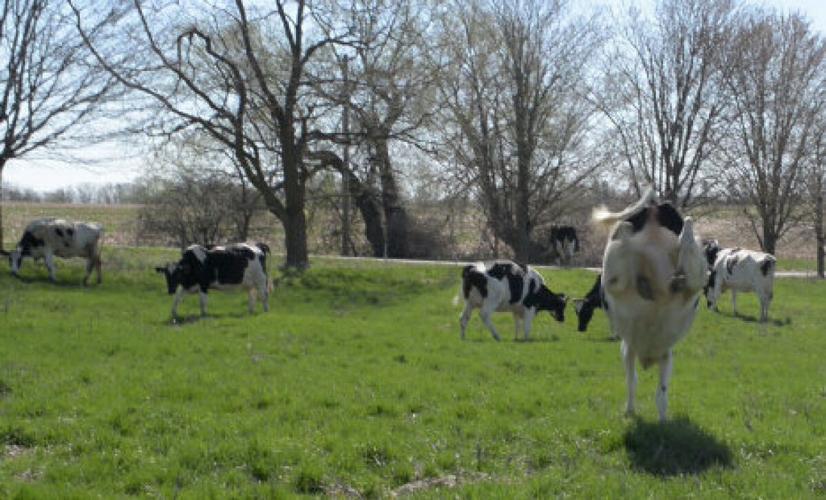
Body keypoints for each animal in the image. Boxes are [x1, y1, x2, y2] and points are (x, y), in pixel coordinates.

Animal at [593, 189, 707, 421]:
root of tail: (654, 208)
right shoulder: (640, 352)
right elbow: (640, 385)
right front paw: (634, 411)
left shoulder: (653, 354)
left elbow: (652, 389)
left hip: (616, 271)